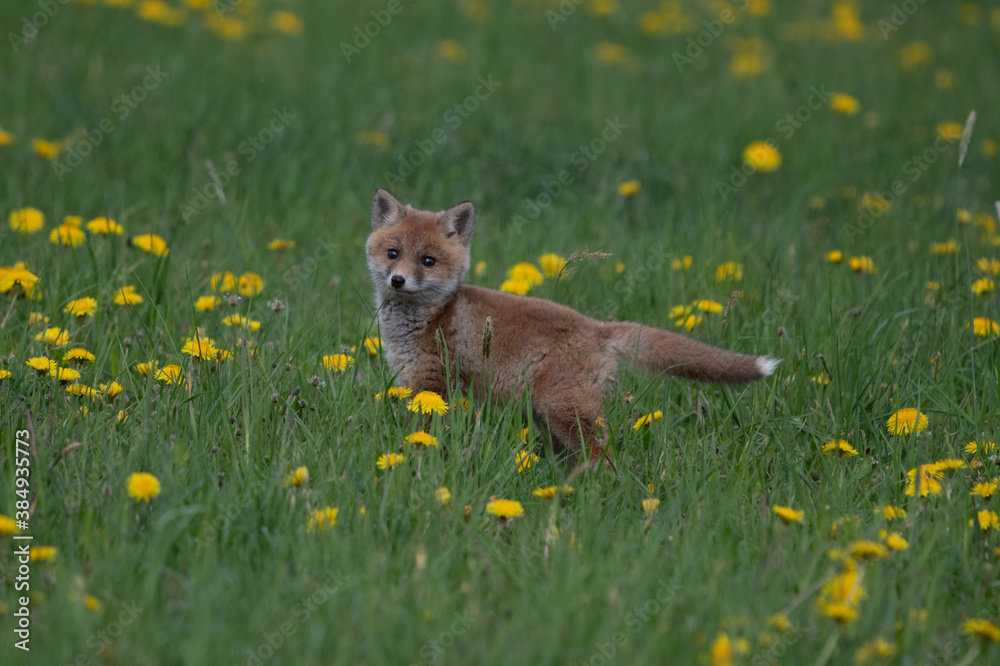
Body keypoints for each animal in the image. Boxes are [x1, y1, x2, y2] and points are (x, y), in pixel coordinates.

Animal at [366, 188, 778, 466]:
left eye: (428, 261)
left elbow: (423, 432)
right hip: (552, 418)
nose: (398, 281)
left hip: (565, 412)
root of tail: (599, 329)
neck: (431, 315)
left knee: (604, 459)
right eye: (393, 254)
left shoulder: (431, 383)